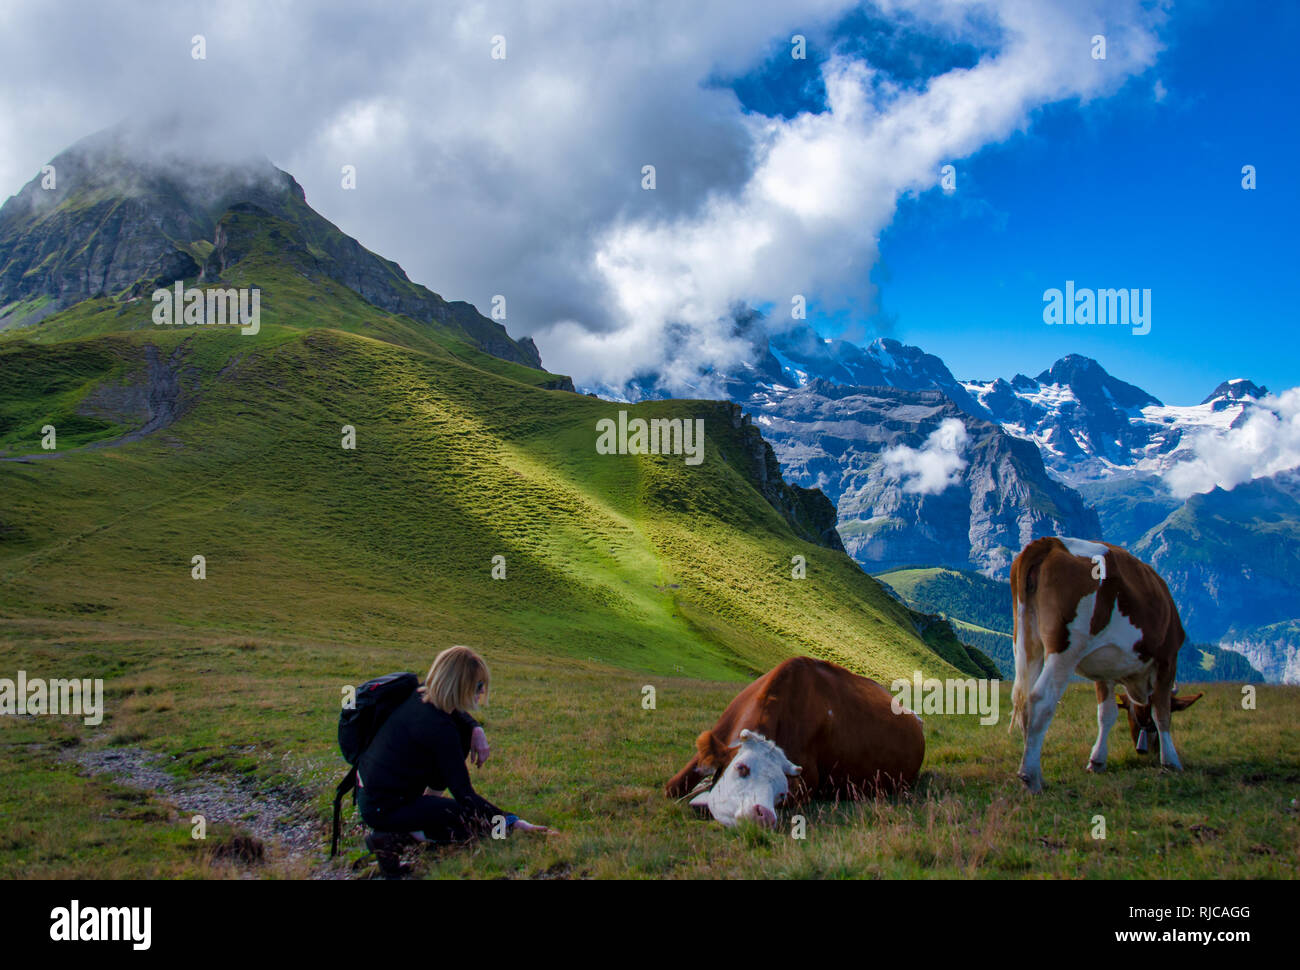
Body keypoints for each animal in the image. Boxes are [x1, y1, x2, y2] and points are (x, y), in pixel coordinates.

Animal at [1010, 536, 1190, 792]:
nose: (1147, 752)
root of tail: (1051, 542)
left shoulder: (1105, 671)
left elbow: (1106, 713)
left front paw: (1097, 760)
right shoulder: (1168, 658)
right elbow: (1161, 711)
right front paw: (1171, 761)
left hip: (1027, 640)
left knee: (1023, 699)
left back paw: (1035, 771)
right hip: (1066, 647)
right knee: (1040, 699)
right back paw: (1030, 776)